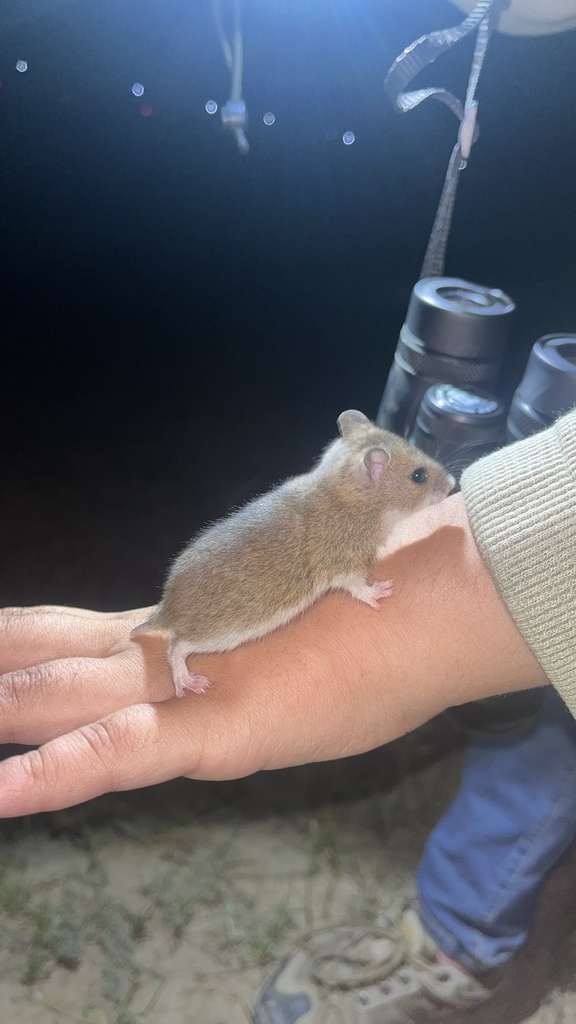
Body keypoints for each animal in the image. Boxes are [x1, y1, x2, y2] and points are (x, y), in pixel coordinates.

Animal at [131, 409, 455, 697]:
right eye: (418, 475)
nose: (453, 483)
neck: (346, 490)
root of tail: (165, 611)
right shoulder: (345, 564)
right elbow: (358, 588)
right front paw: (378, 592)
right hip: (219, 634)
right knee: (176, 647)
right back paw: (185, 678)